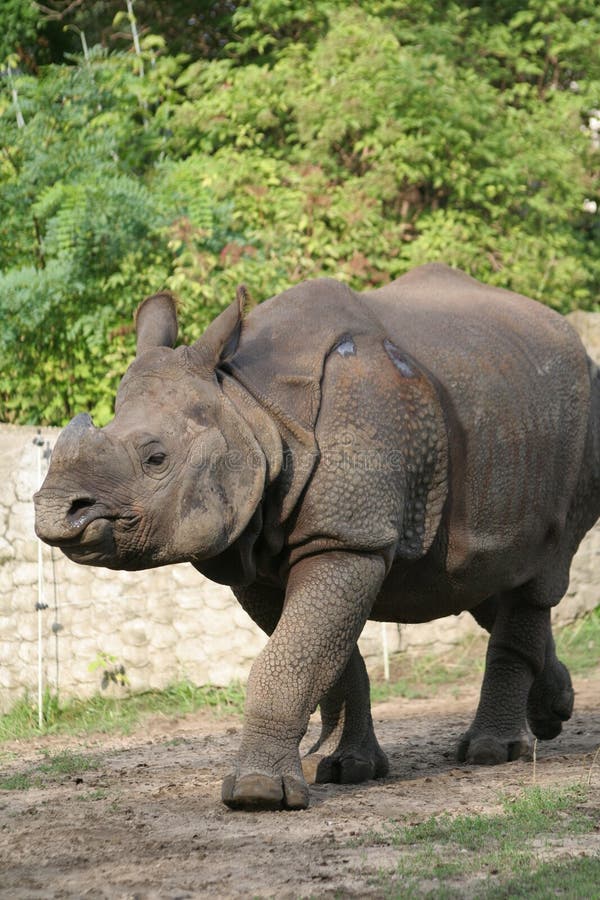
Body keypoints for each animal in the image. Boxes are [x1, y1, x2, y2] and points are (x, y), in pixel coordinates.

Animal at [34, 263, 600, 811]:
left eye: (156, 459)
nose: (53, 511)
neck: (250, 406)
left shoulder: (347, 537)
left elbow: (292, 657)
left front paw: (257, 794)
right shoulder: (255, 558)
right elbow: (326, 657)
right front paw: (347, 769)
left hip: (579, 417)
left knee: (537, 574)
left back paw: (491, 753)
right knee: (481, 579)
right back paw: (553, 711)